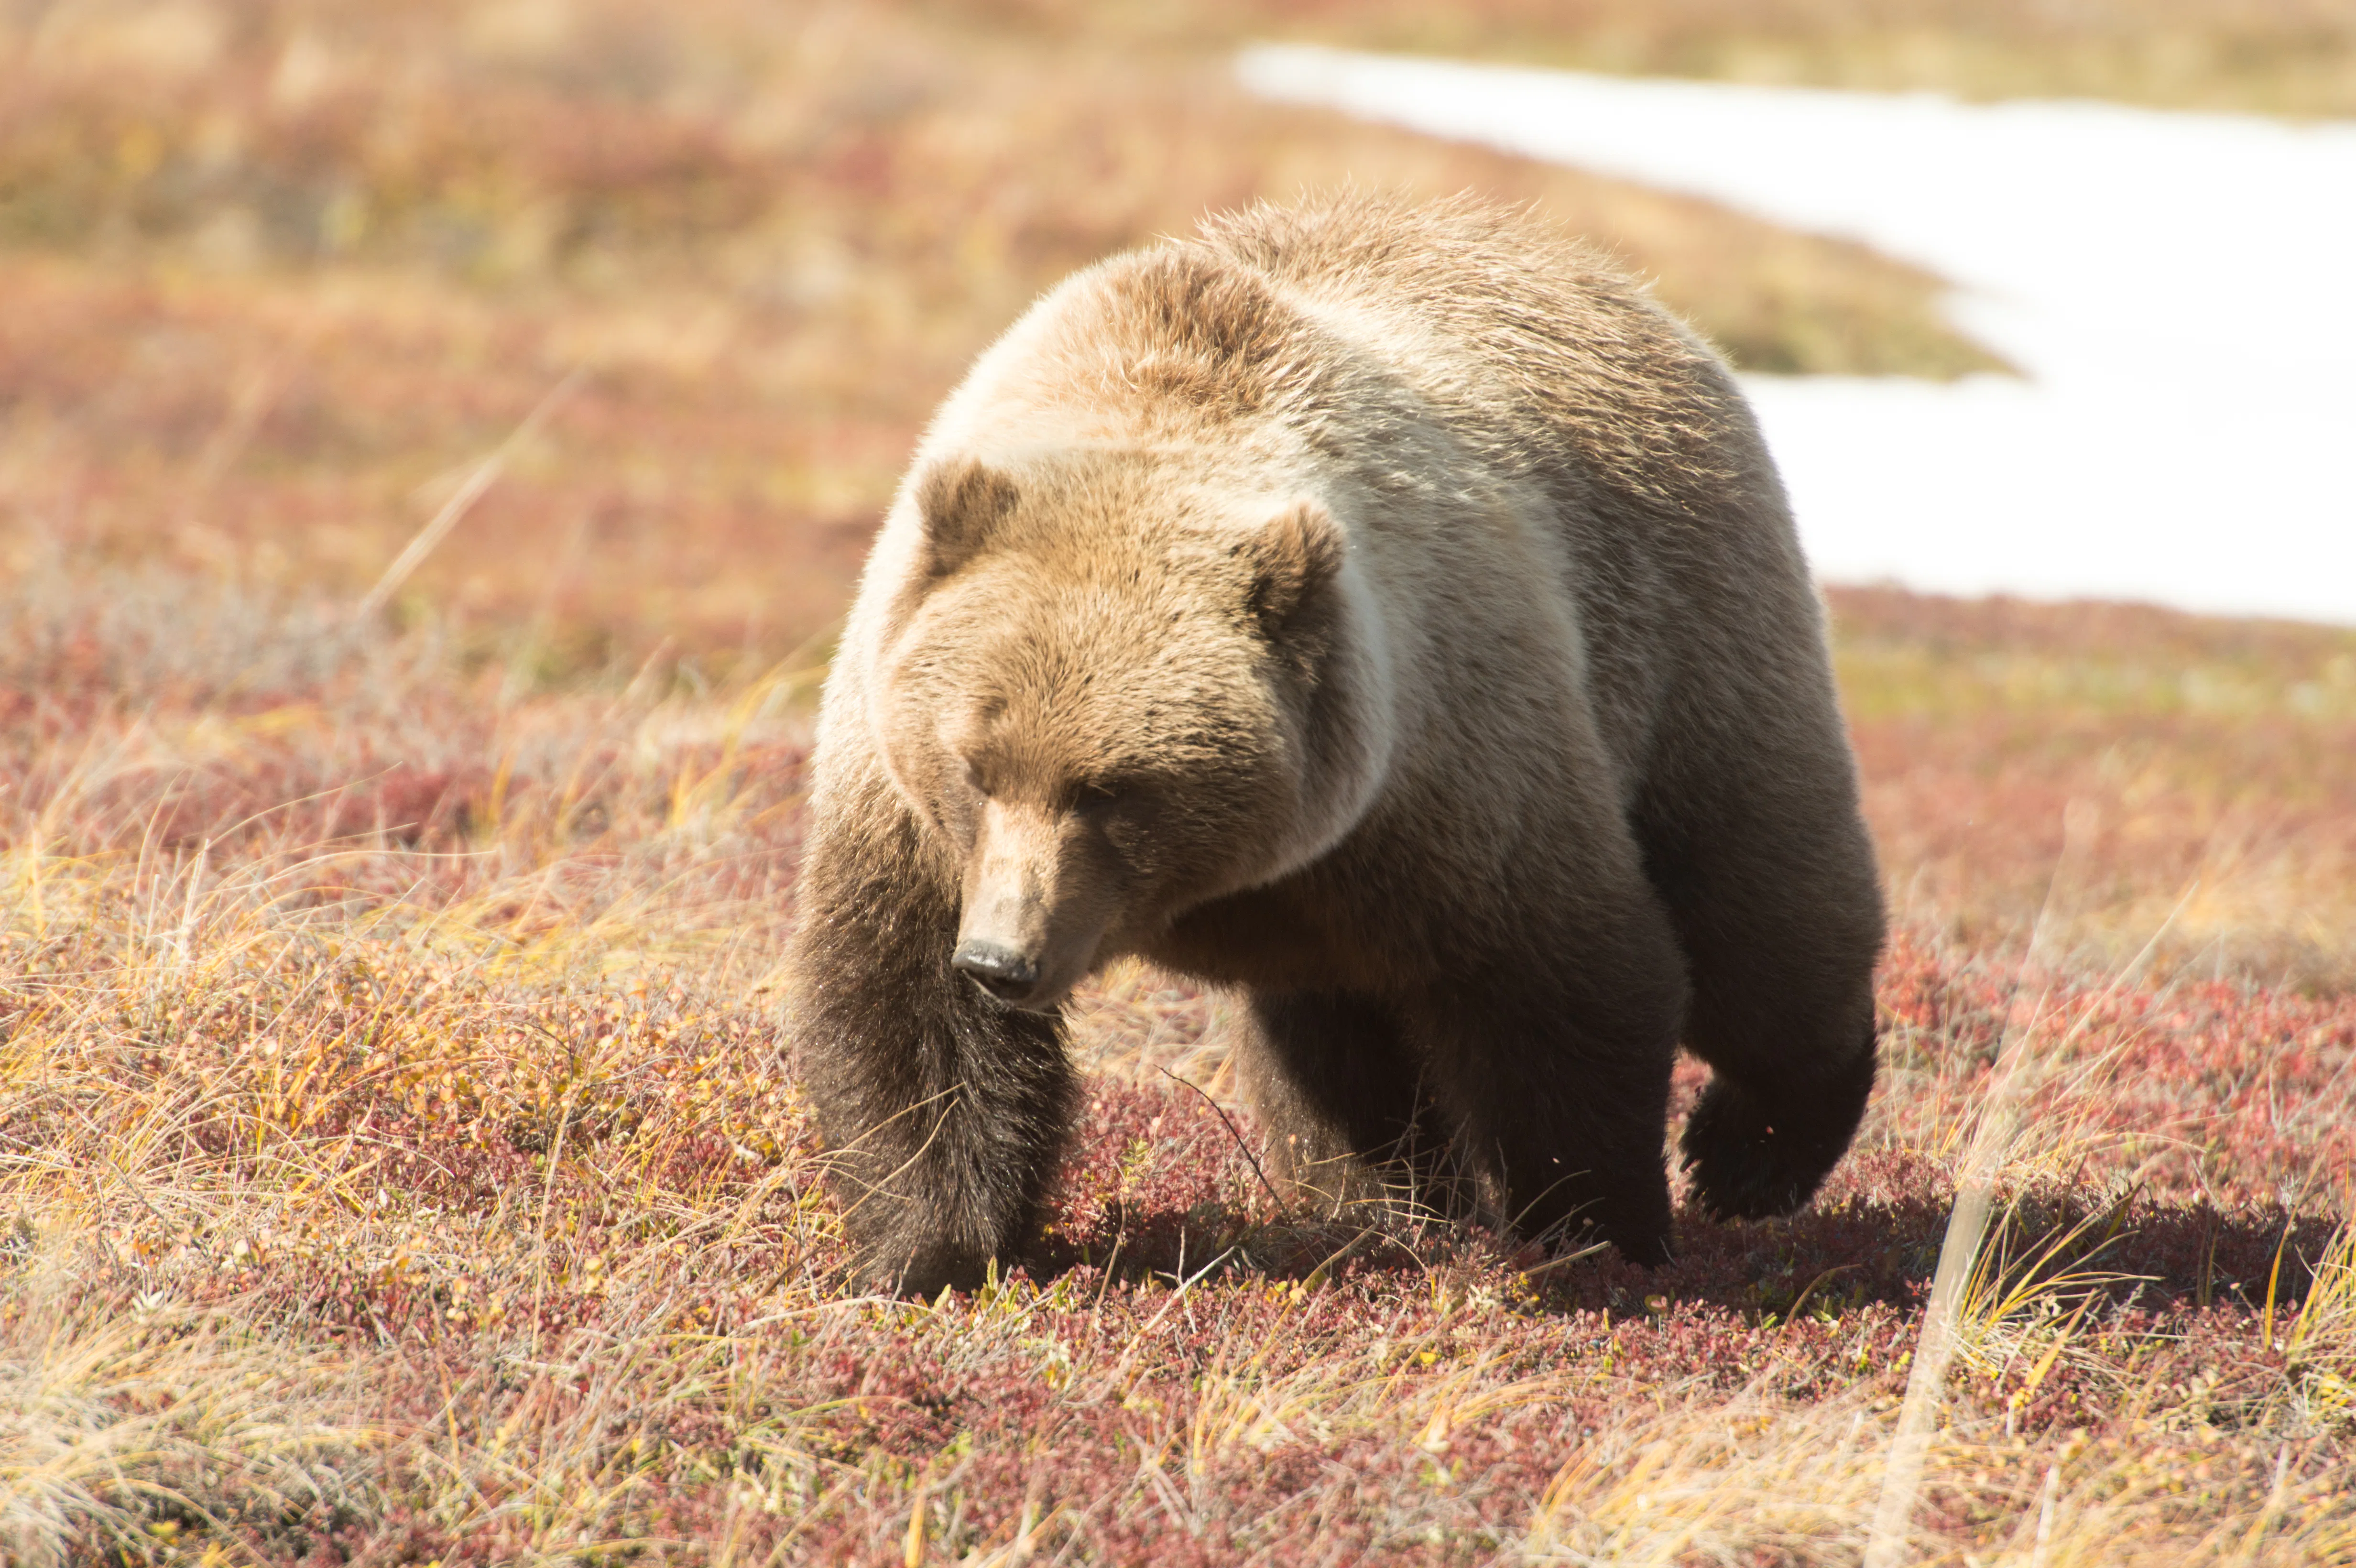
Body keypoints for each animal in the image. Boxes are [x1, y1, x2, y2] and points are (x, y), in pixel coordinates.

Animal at [786, 192, 1885, 1296]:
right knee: (1336, 1054)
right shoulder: (908, 812)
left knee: (1758, 912)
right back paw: (1375, 1205)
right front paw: (929, 1251)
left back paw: (1752, 1150)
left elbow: (1565, 986)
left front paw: (1595, 1234)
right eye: (974, 766)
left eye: (1112, 787)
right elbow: (907, 1014)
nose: (1003, 959)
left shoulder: (1456, 767)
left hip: (1690, 639)